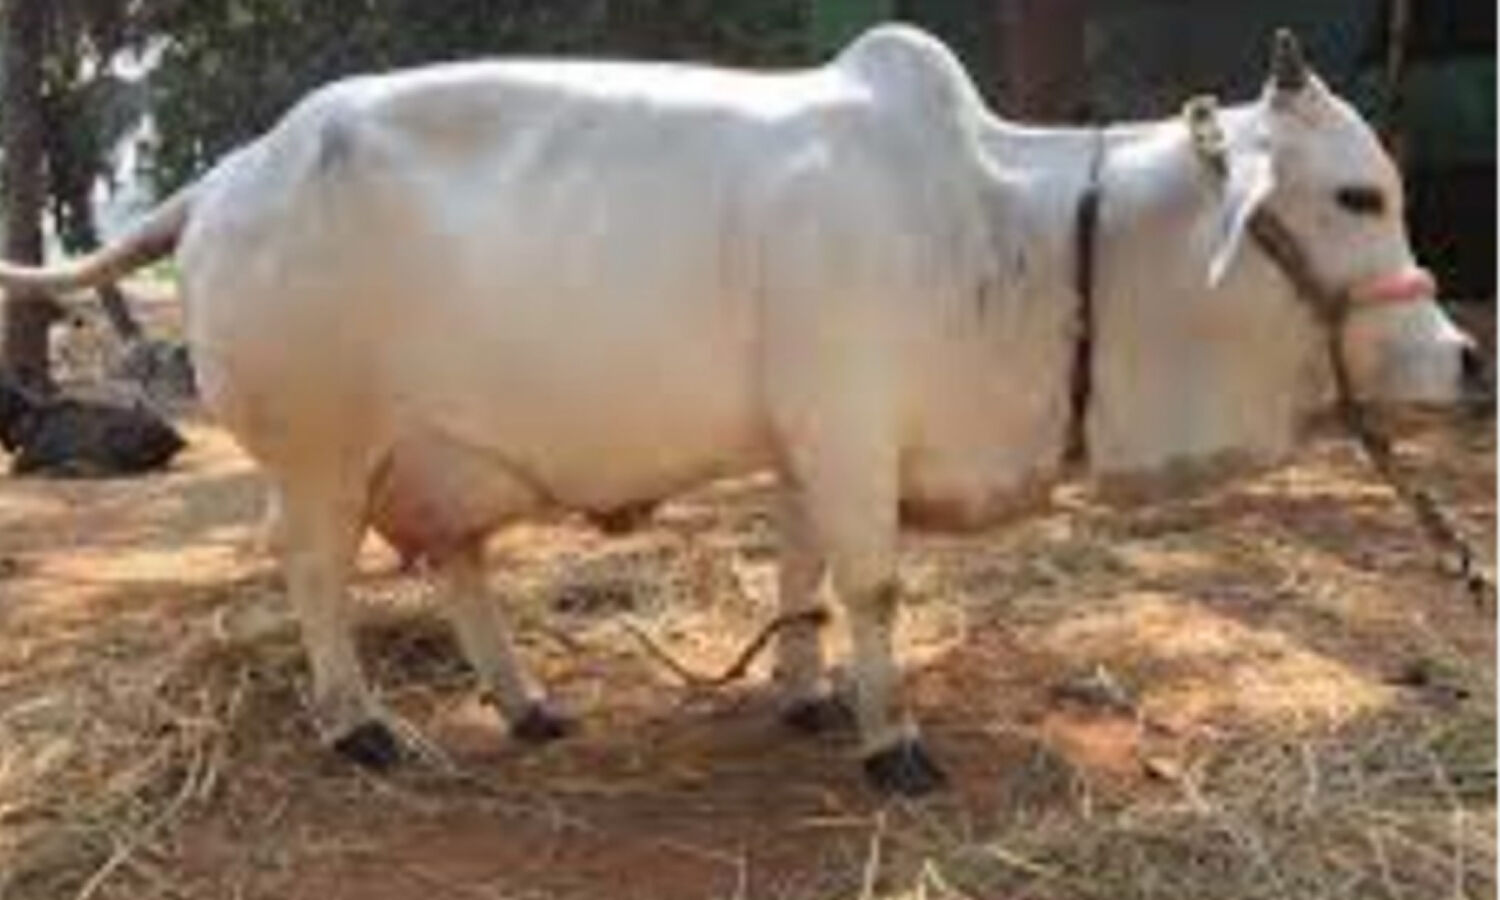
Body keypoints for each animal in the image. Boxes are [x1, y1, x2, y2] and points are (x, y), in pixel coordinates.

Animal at [0, 26, 1480, 795]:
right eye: (1357, 195)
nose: (1466, 357)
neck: (1025, 236)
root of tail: (230, 174)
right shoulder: (846, 427)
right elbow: (874, 587)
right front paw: (892, 738)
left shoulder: (809, 448)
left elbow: (805, 578)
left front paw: (808, 695)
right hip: (321, 453)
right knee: (315, 577)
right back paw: (364, 727)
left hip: (431, 459)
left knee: (462, 570)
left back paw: (527, 705)